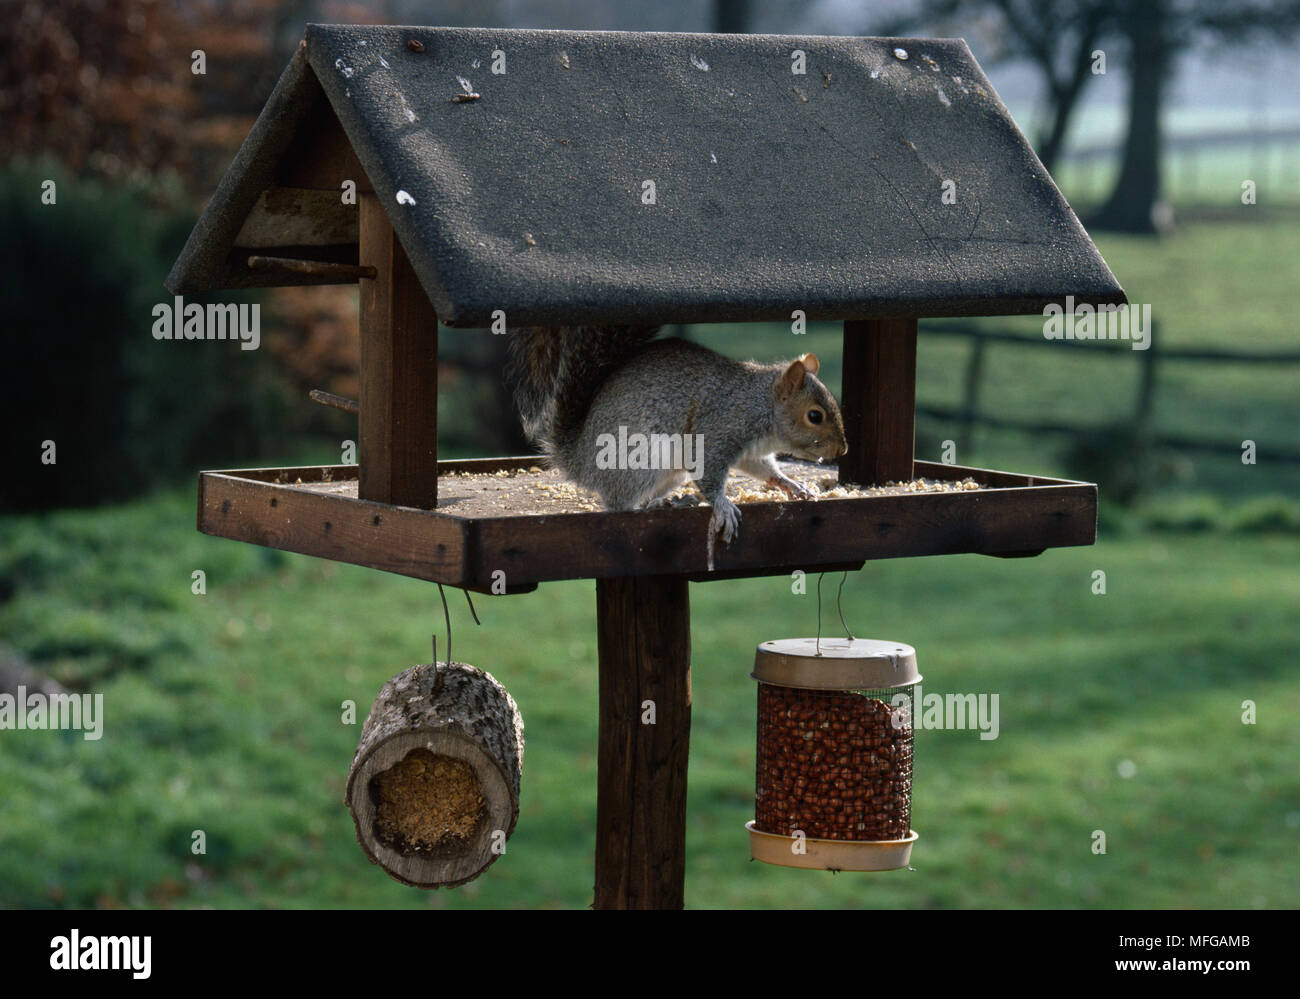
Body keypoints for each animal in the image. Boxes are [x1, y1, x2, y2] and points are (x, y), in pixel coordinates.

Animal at [506, 327, 848, 565]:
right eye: (814, 416)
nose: (842, 451)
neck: (759, 404)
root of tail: (580, 460)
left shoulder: (749, 451)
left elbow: (762, 468)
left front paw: (792, 485)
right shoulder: (719, 427)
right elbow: (709, 472)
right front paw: (723, 506)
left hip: (668, 472)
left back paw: (669, 502)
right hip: (640, 459)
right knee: (619, 505)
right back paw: (652, 505)